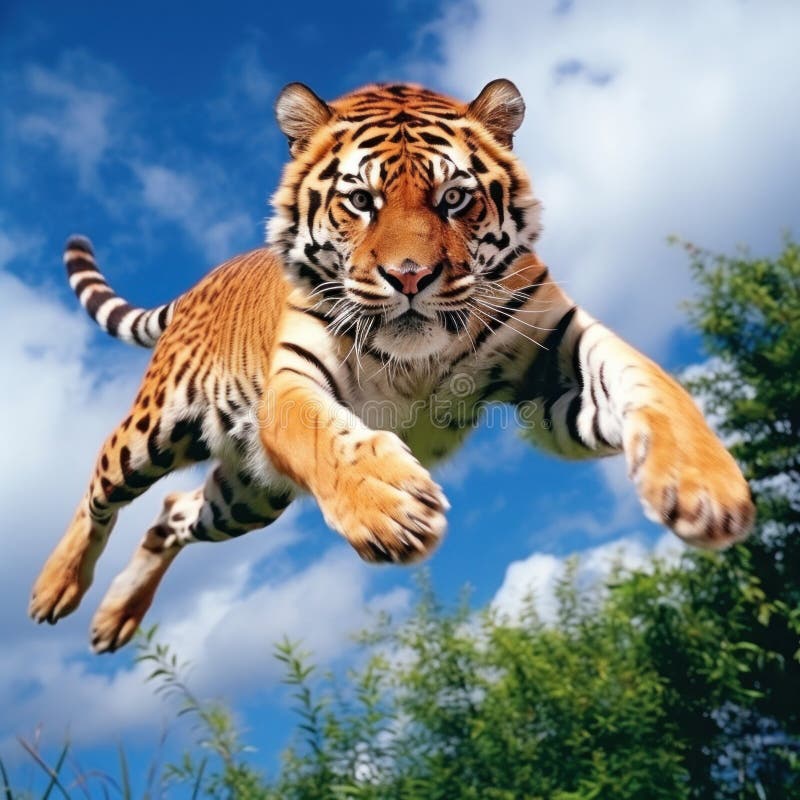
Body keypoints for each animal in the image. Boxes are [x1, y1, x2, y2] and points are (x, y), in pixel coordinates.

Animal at [30, 79, 755, 653]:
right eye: (361, 201)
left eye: (454, 199)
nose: (410, 276)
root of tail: (203, 280)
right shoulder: (296, 380)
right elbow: (323, 434)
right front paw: (391, 507)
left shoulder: (557, 360)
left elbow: (646, 379)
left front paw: (705, 485)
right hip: (155, 431)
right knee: (101, 482)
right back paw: (53, 589)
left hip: (248, 495)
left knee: (172, 512)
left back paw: (116, 619)